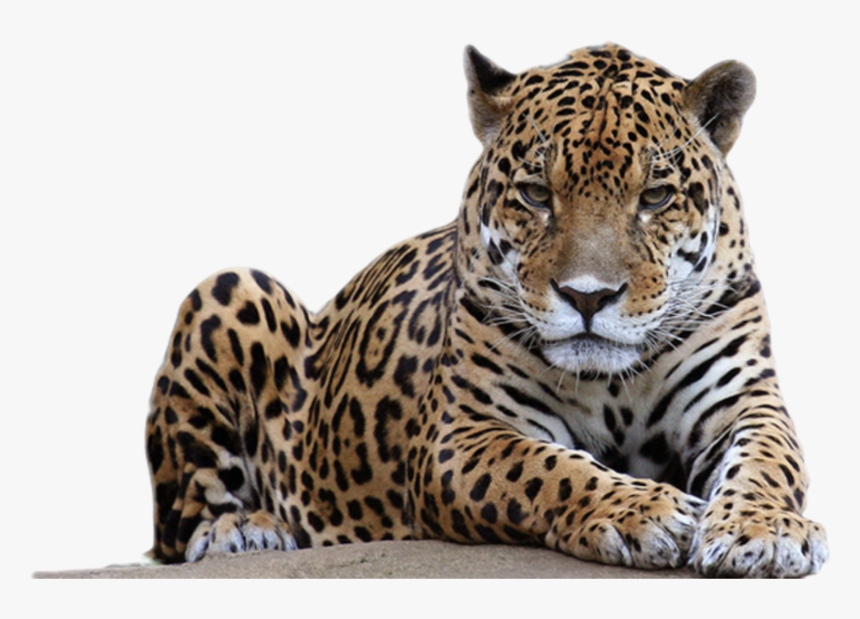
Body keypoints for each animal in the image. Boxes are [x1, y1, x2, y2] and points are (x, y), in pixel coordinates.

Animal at [145, 43, 829, 577]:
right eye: (536, 194)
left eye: (656, 196)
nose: (588, 296)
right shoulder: (464, 433)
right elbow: (548, 469)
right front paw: (645, 512)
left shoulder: (742, 400)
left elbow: (770, 460)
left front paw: (763, 531)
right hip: (230, 287)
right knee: (182, 525)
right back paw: (244, 531)